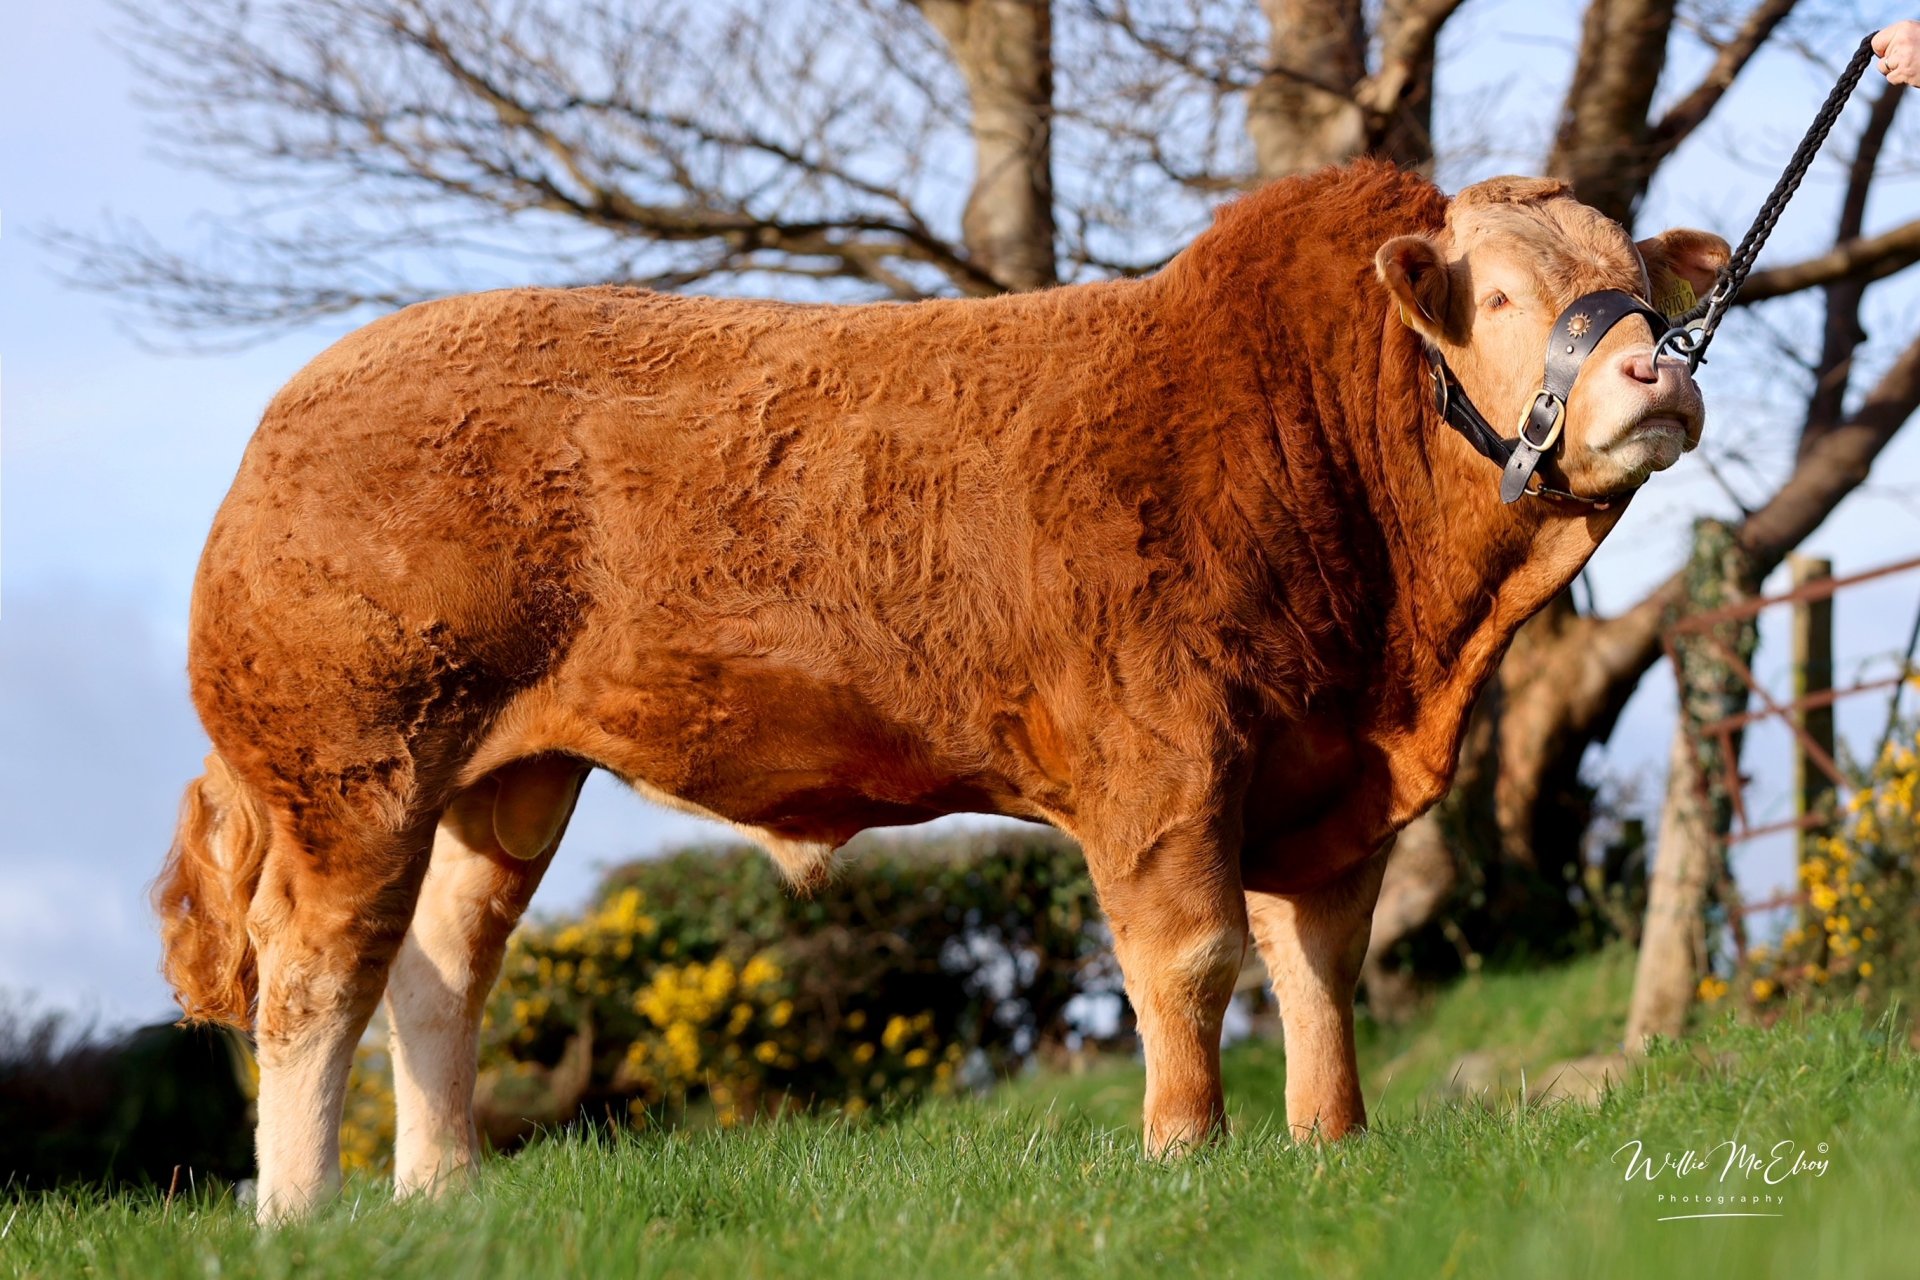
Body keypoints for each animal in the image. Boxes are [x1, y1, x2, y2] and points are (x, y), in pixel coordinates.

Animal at [155, 160, 1726, 1221]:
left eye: (1643, 281)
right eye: (1505, 296)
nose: (1655, 366)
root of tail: (299, 401)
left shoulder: (1329, 783)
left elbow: (1318, 968)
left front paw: (1328, 1144)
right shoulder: (1162, 758)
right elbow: (1190, 960)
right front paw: (1185, 1154)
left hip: (505, 779)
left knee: (439, 967)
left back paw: (441, 1197)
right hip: (352, 765)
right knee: (317, 975)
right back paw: (301, 1214)